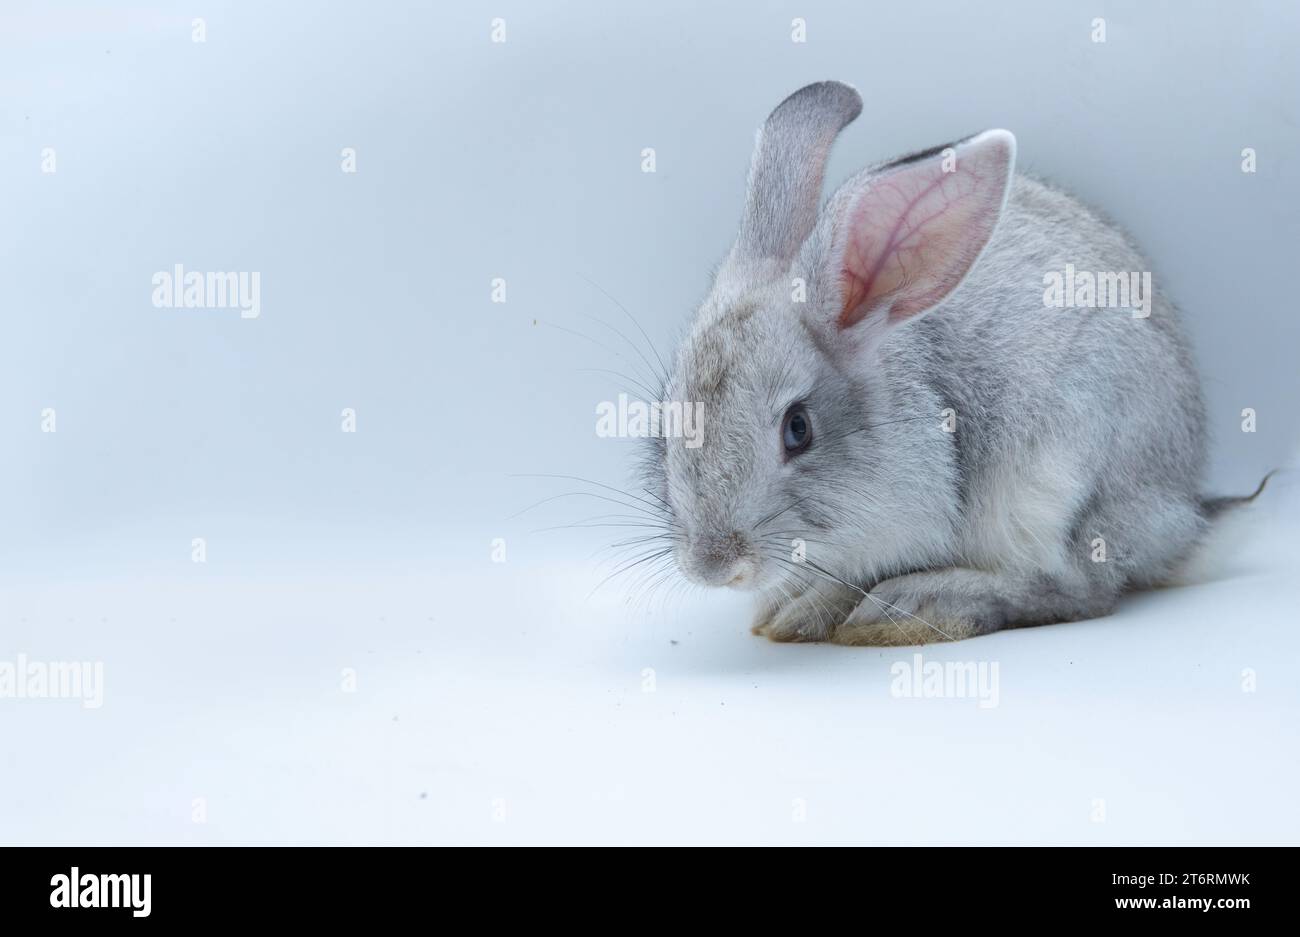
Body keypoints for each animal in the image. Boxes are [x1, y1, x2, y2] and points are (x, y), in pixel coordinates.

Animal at [641, 80, 1247, 646]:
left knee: (1079, 590)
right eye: (667, 423)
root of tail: (1183, 515)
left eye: (798, 429)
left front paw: (813, 612)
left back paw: (920, 604)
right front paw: (785, 610)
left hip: (1065, 486)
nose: (713, 565)